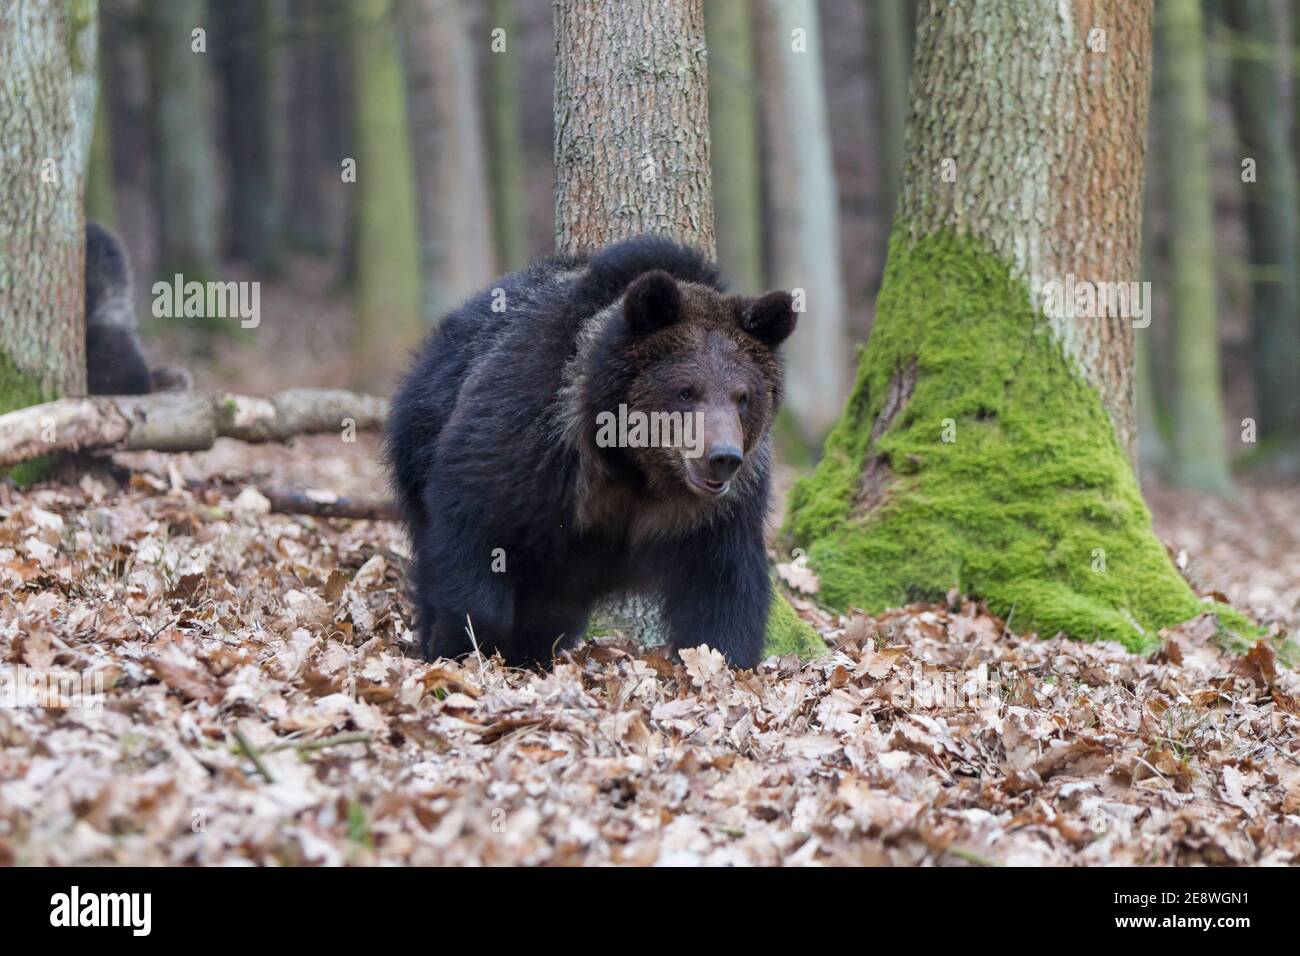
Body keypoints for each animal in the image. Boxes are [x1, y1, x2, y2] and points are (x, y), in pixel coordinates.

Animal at [385, 234, 797, 669]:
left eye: (743, 397)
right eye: (687, 391)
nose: (722, 457)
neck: (634, 466)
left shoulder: (717, 512)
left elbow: (722, 586)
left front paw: (723, 658)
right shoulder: (532, 434)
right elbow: (474, 521)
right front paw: (458, 642)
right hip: (420, 436)